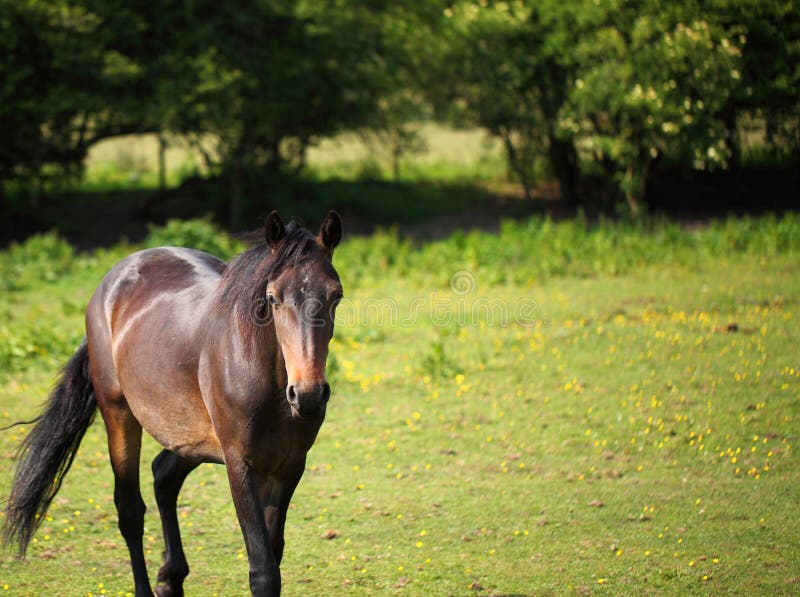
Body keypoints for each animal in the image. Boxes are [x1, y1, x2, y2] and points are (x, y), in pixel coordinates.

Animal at [2, 210, 343, 597]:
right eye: (273, 298)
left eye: (336, 296)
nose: (308, 394)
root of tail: (113, 279)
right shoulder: (240, 465)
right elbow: (264, 571)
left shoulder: (289, 467)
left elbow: (274, 554)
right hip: (119, 415)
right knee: (130, 511)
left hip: (189, 437)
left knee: (163, 476)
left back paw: (171, 576)